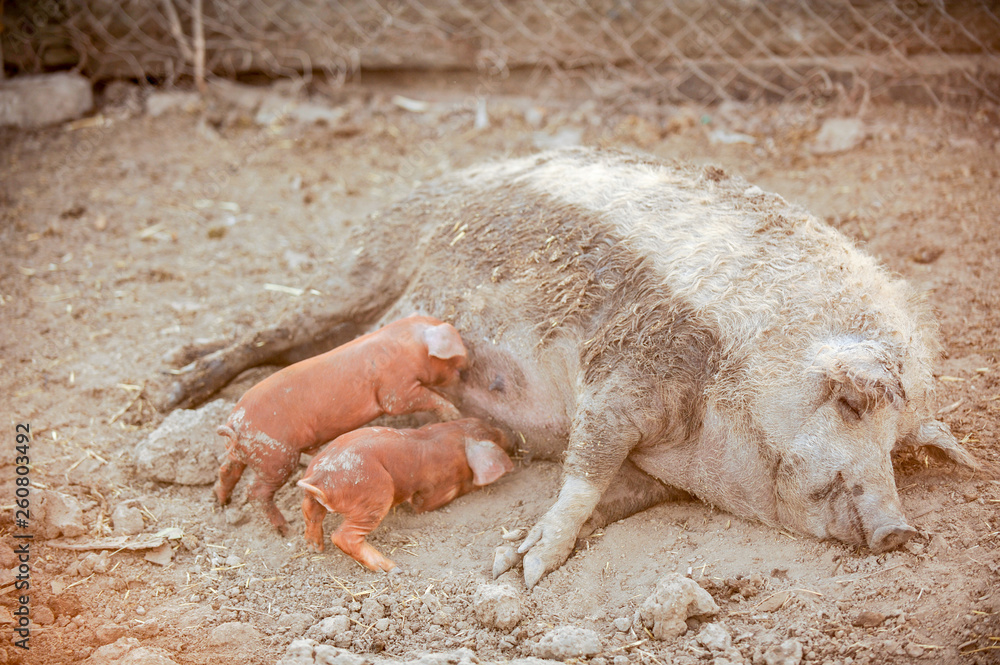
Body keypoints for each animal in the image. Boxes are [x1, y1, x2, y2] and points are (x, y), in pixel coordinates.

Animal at [214, 314, 467, 535]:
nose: (465, 366)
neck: (407, 346)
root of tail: (235, 425)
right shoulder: (396, 390)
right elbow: (413, 400)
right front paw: (453, 413)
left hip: (245, 454)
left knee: (226, 470)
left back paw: (221, 502)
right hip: (276, 458)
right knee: (256, 492)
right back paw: (285, 530)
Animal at [297, 418, 513, 571]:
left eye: (485, 424)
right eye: (492, 435)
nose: (507, 433)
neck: (454, 434)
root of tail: (319, 476)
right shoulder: (432, 491)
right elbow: (426, 502)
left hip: (318, 491)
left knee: (309, 511)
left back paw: (314, 547)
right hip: (377, 492)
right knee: (343, 536)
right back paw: (391, 568)